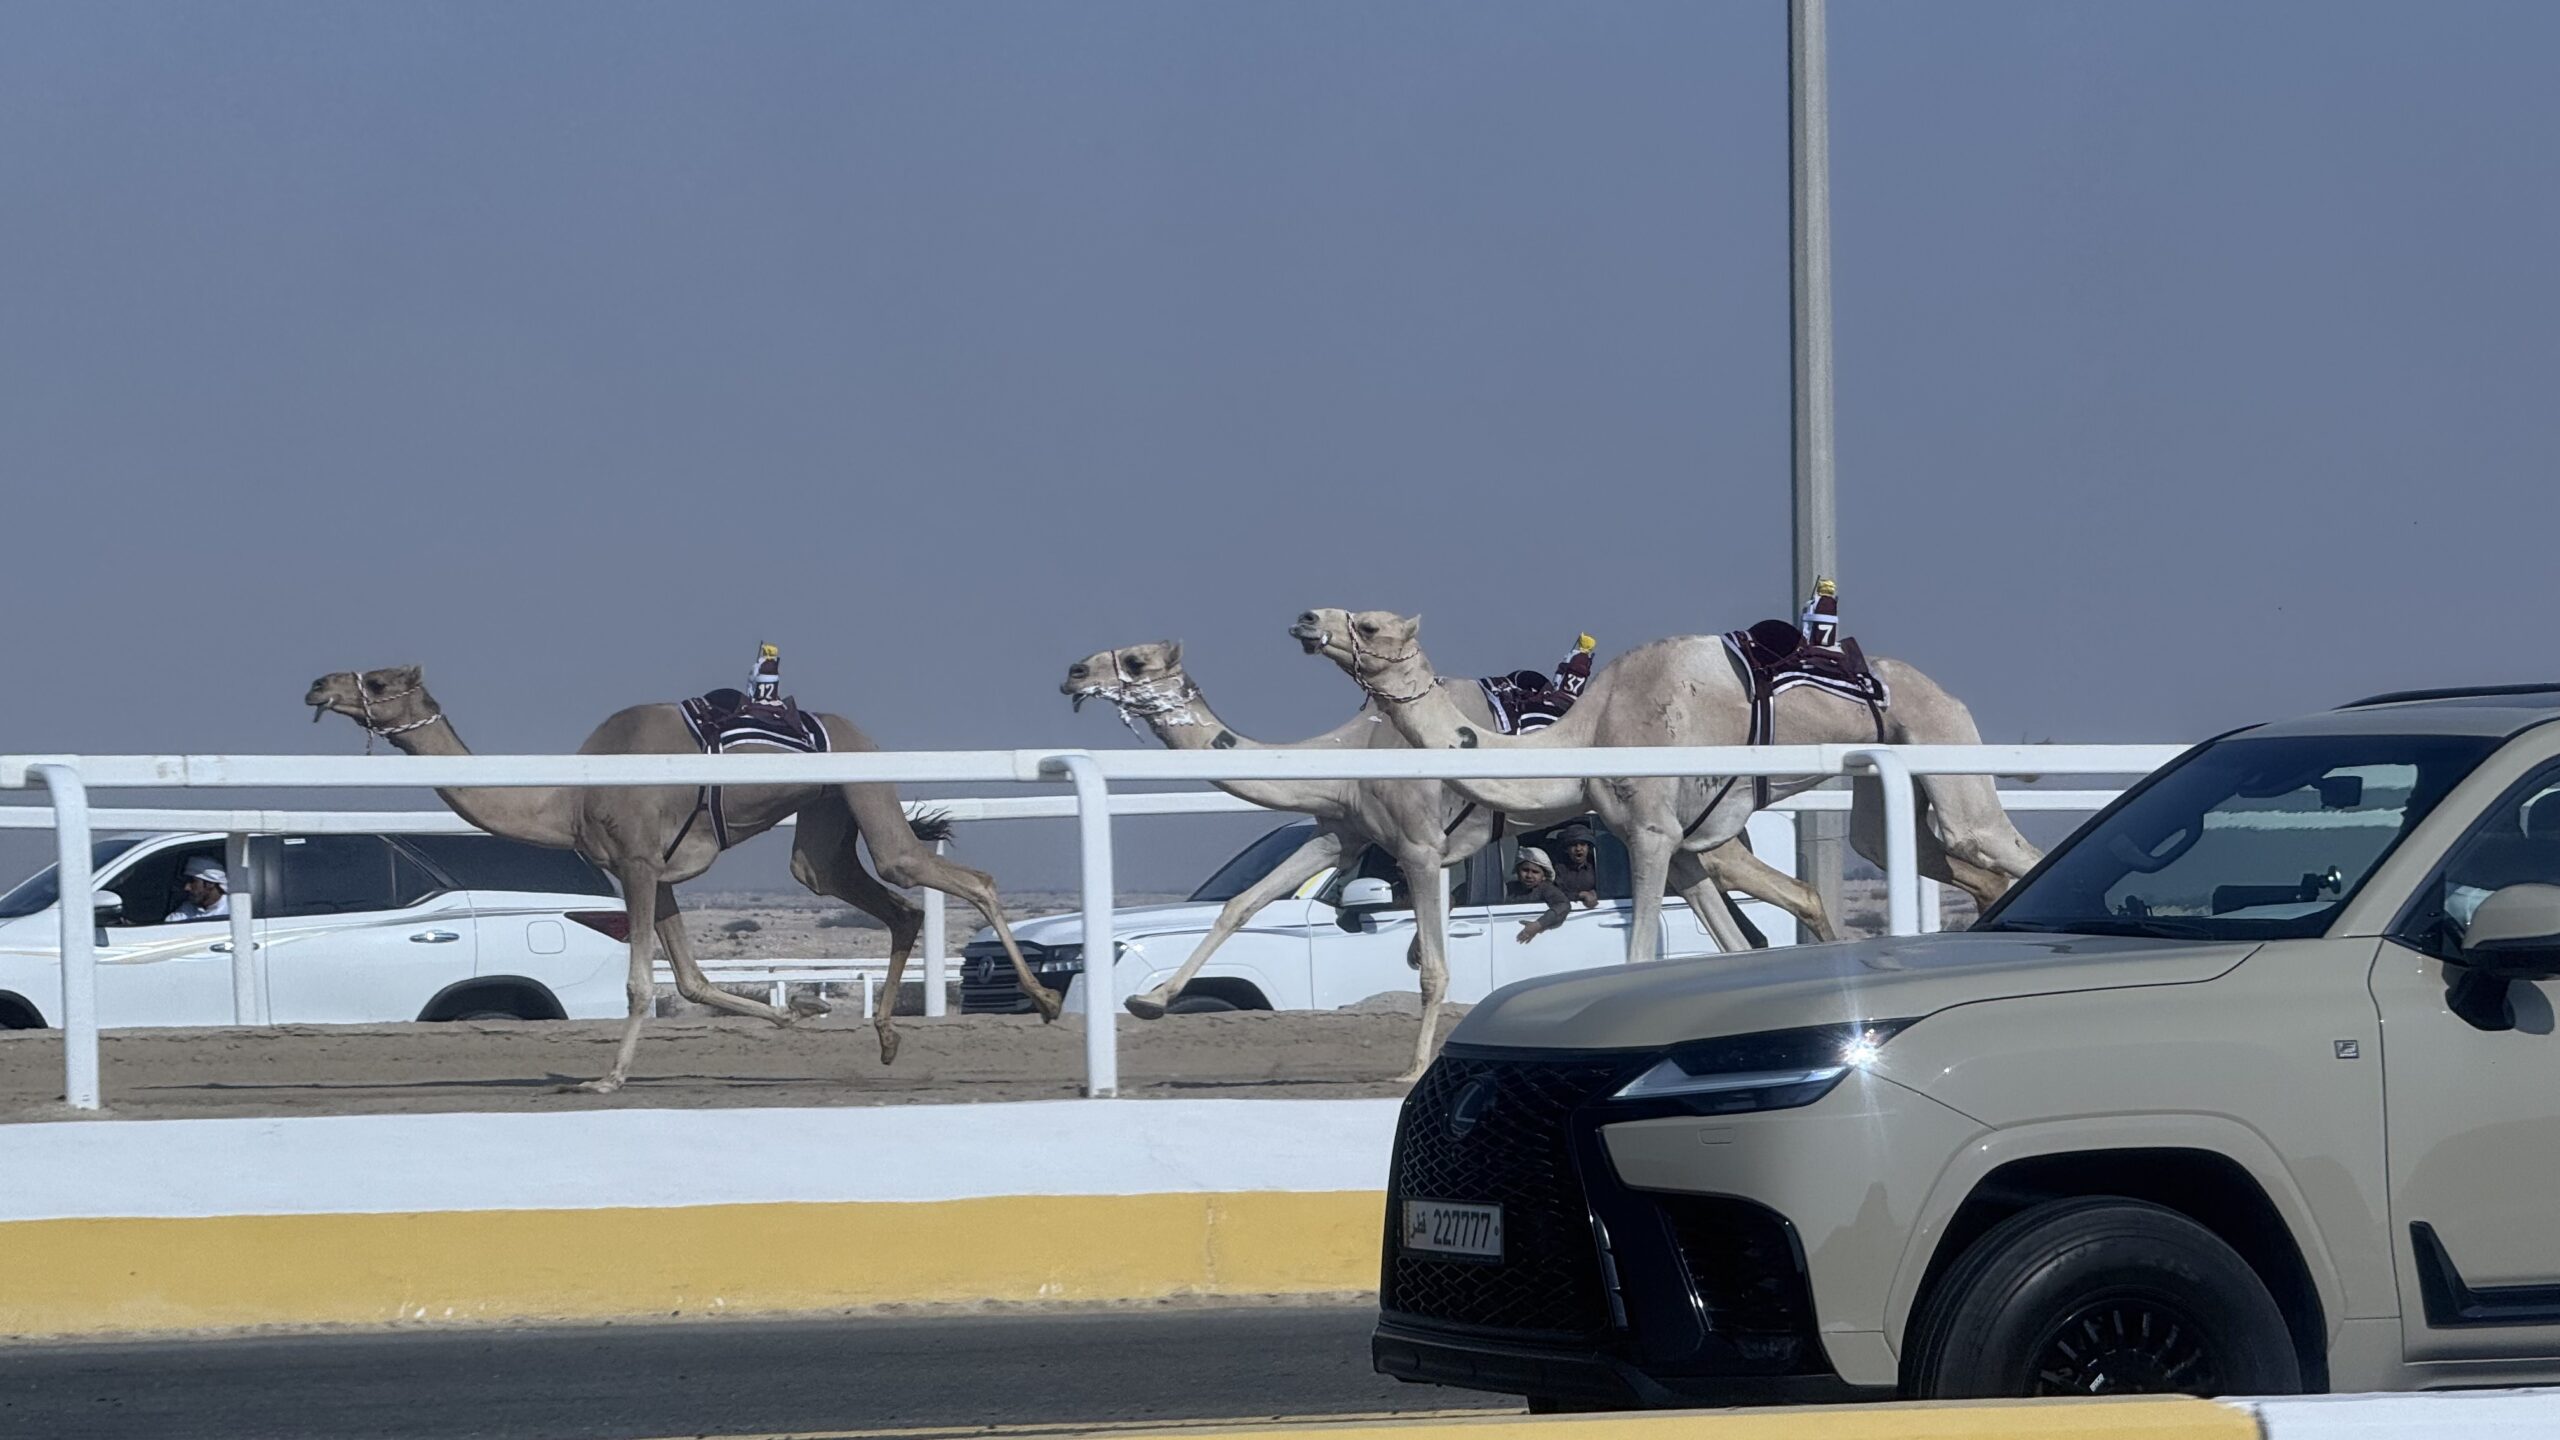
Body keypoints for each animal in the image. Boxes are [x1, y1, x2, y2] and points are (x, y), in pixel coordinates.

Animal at [305, 666, 1058, 1092]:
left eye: (377, 682)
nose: (317, 685)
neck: (569, 796)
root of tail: (857, 730)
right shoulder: (654, 873)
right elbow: (691, 980)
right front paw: (798, 1012)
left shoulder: (637, 864)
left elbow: (643, 982)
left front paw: (606, 1079)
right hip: (824, 821)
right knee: (877, 898)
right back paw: (887, 1039)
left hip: (865, 786)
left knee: (963, 878)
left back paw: (1045, 1001)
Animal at [1062, 643, 1835, 1081]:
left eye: (1135, 661)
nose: (1072, 672)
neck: (1349, 755)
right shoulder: (1339, 836)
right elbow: (1241, 903)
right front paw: (1150, 1000)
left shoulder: (1416, 844)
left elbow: (1433, 966)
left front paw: (1410, 1067)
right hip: (1686, 844)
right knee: (1752, 921)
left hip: (1692, 831)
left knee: (1796, 898)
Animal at [1290, 610, 2042, 966]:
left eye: (1368, 622)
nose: (1305, 618)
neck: (1590, 732)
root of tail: (1945, 693)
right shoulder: (1684, 846)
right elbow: (1731, 944)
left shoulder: (1652, 833)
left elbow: (1637, 949)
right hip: (1894, 781)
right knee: (1909, 852)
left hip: (1945, 743)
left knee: (1998, 844)